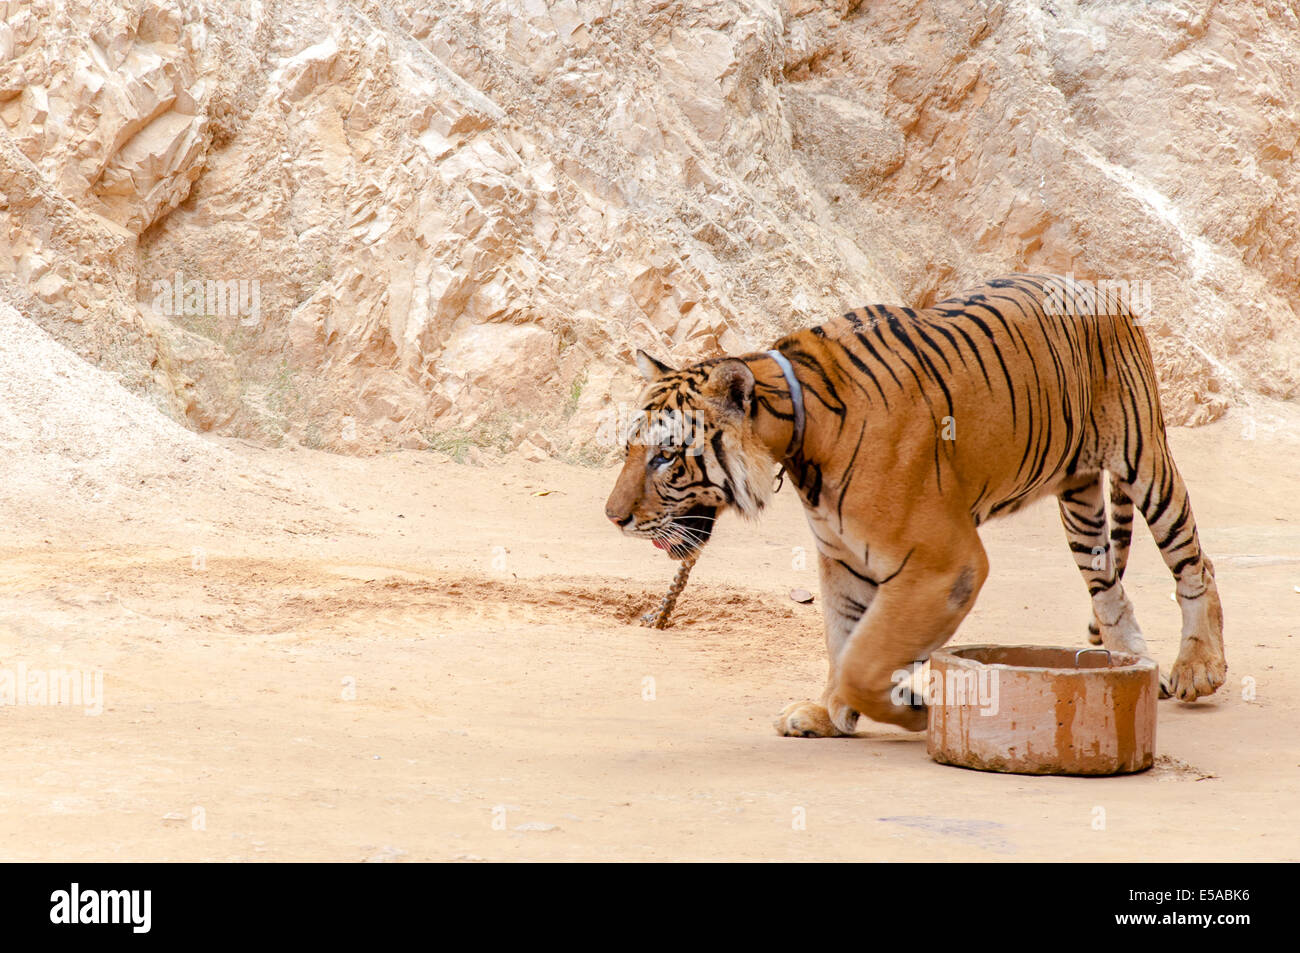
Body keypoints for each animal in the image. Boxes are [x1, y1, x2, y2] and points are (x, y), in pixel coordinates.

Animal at [605, 273, 1226, 737]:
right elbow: (843, 640)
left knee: (1195, 560)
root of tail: (1096, 284)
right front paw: (828, 715)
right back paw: (1135, 669)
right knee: (1109, 589)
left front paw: (905, 708)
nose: (613, 517)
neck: (800, 437)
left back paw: (1198, 668)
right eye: (632, 447)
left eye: (665, 455)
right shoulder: (843, 559)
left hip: (1144, 459)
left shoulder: (944, 563)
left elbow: (864, 658)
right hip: (1078, 499)